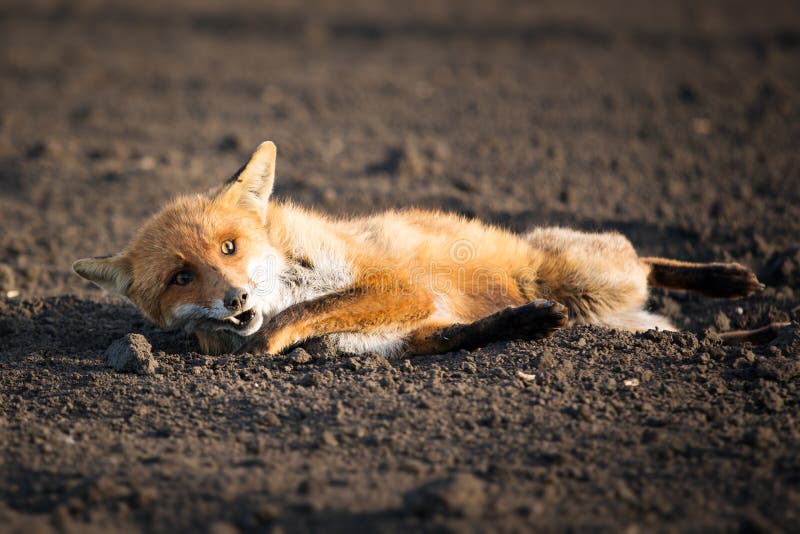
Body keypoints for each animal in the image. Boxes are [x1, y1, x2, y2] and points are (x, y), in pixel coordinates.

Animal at [73, 141, 770, 357]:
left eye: (229, 246)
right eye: (180, 278)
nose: (235, 297)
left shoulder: (398, 287)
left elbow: (293, 322)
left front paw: (262, 341)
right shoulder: (404, 335)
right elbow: (468, 334)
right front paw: (525, 324)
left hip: (597, 277)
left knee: (644, 259)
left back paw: (731, 280)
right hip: (616, 315)